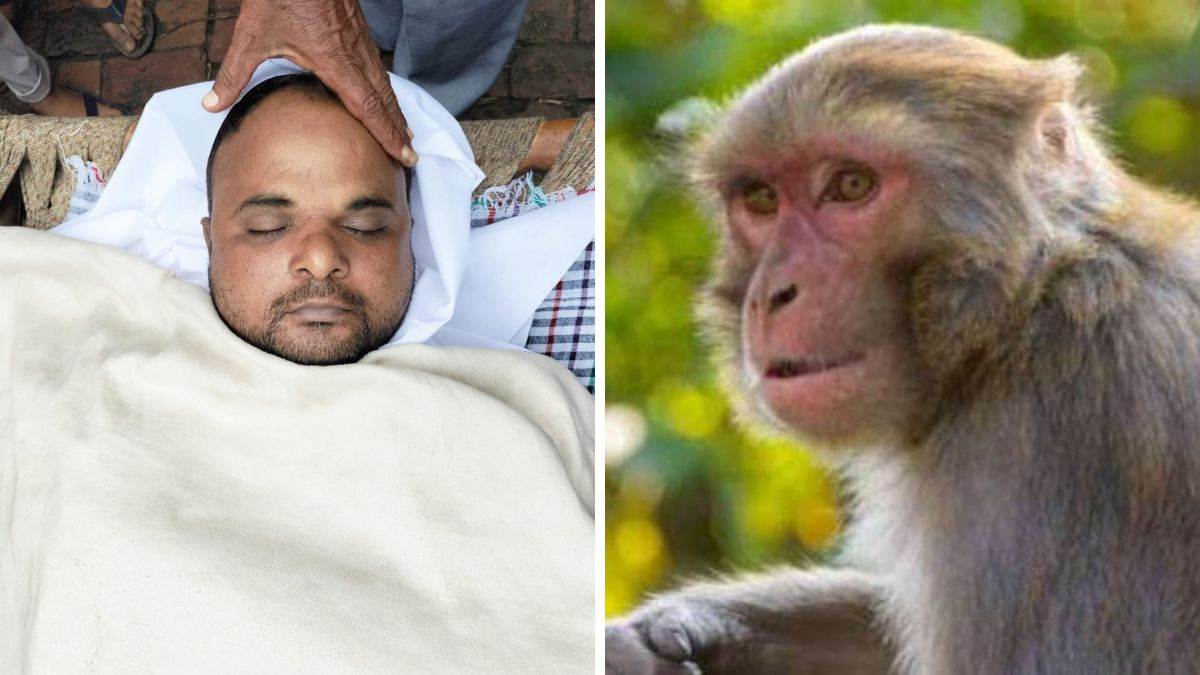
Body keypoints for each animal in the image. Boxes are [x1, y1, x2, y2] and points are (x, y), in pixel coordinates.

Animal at [606, 24, 1200, 675]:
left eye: (851, 186)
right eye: (760, 199)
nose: (772, 293)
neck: (1023, 316)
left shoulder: (1082, 429)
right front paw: (656, 631)